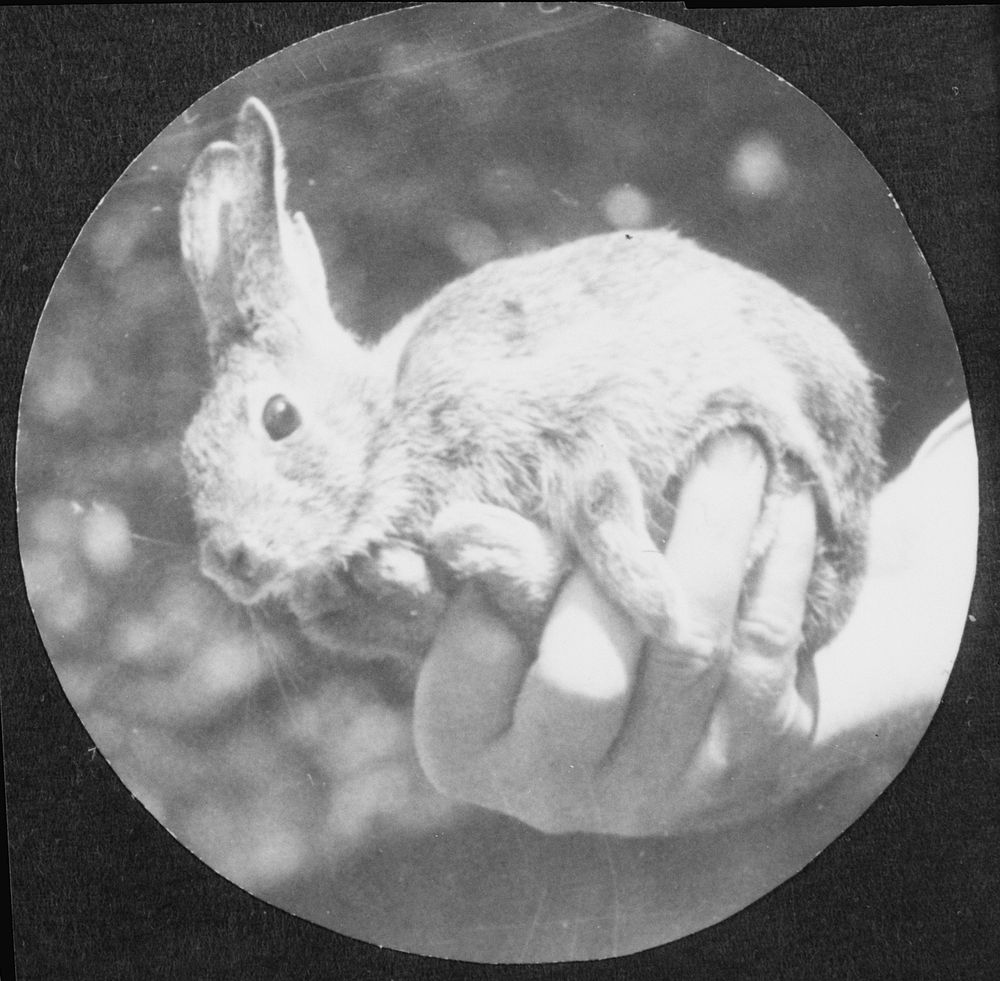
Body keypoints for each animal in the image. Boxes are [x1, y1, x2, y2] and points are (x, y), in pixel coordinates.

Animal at [180, 98, 882, 674]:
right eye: (187, 454)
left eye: (279, 416)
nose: (228, 561)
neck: (390, 424)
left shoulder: (576, 412)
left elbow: (596, 503)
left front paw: (665, 614)